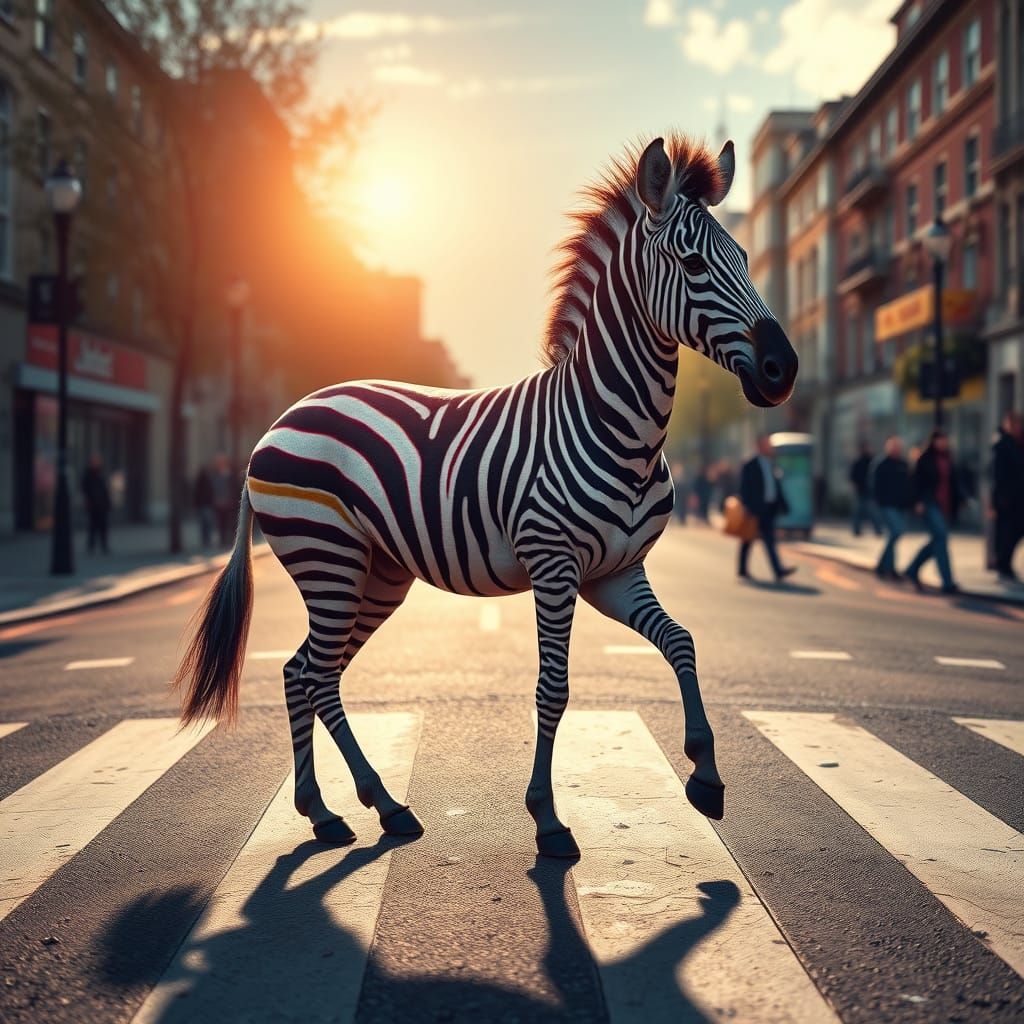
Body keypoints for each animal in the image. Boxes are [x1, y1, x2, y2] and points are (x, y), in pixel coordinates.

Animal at [174, 135, 798, 859]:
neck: (614, 425)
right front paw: (547, 818)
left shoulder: (616, 573)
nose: (785, 370)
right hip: (328, 560)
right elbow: (553, 688)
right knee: (313, 675)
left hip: (374, 576)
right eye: (694, 264)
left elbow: (683, 643)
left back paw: (341, 810)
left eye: (746, 260)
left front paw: (705, 774)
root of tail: (279, 422)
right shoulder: (554, 565)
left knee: (304, 672)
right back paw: (361, 807)